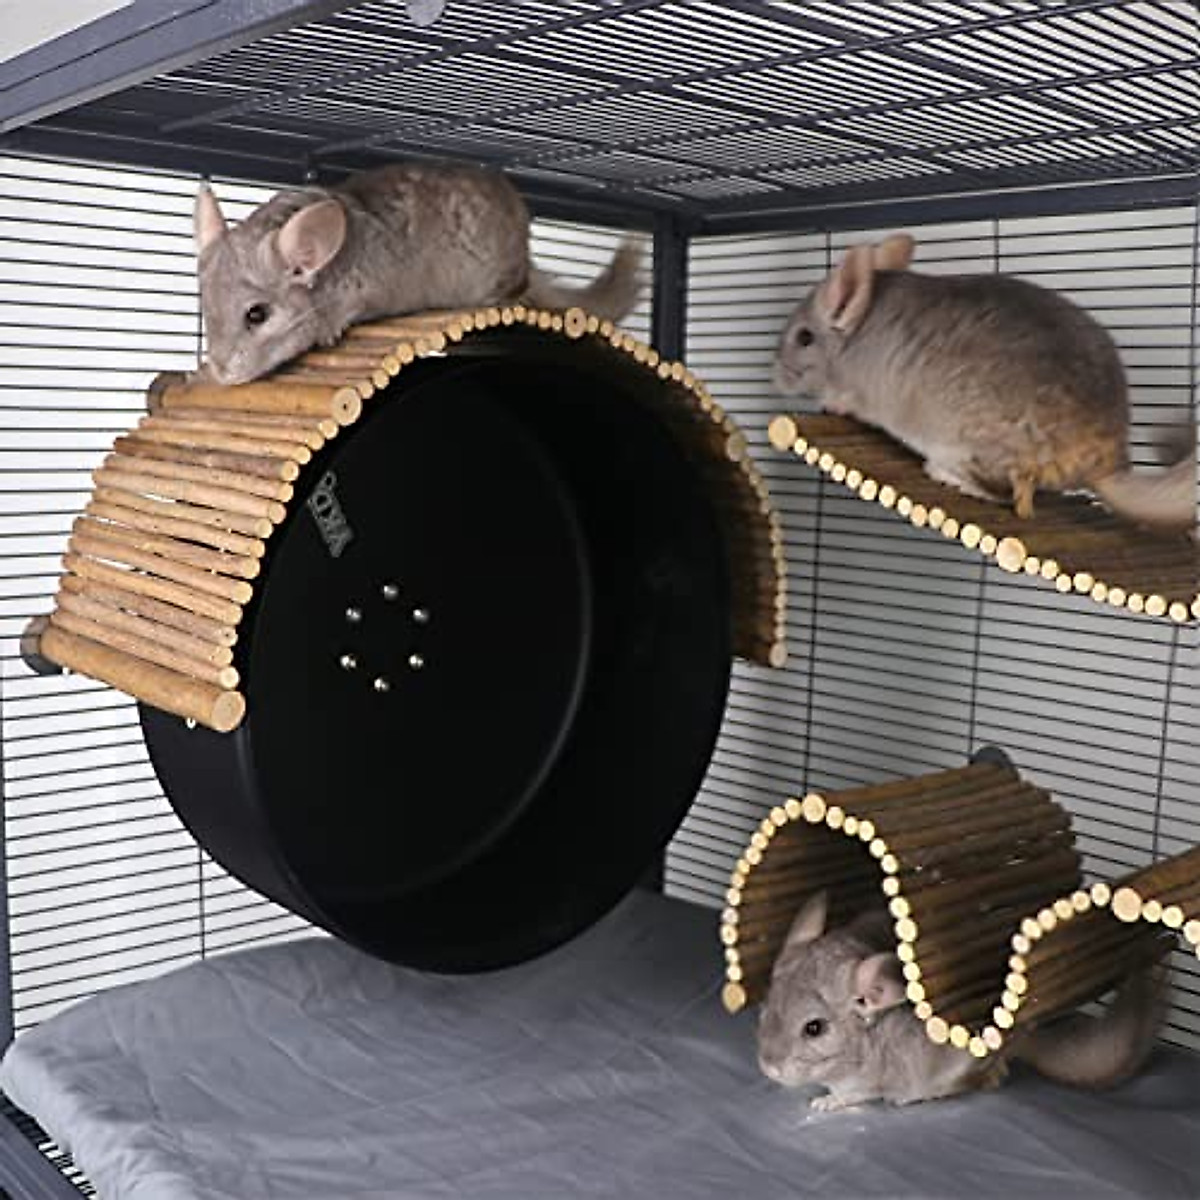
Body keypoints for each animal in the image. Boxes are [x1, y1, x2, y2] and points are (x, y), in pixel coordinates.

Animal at [194, 162, 642, 385]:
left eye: (257, 315)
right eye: (205, 308)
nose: (220, 372)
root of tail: (528, 259)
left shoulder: (364, 292)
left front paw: (329, 334)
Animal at [756, 891, 1165, 1112]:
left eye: (814, 1028)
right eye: (766, 1009)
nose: (769, 1069)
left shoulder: (868, 1081)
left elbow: (848, 1095)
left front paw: (822, 1102)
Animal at [773, 233, 1194, 531]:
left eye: (803, 338)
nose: (776, 375)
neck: (855, 338)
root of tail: (1109, 460)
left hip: (970, 440)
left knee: (1013, 498)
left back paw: (946, 475)